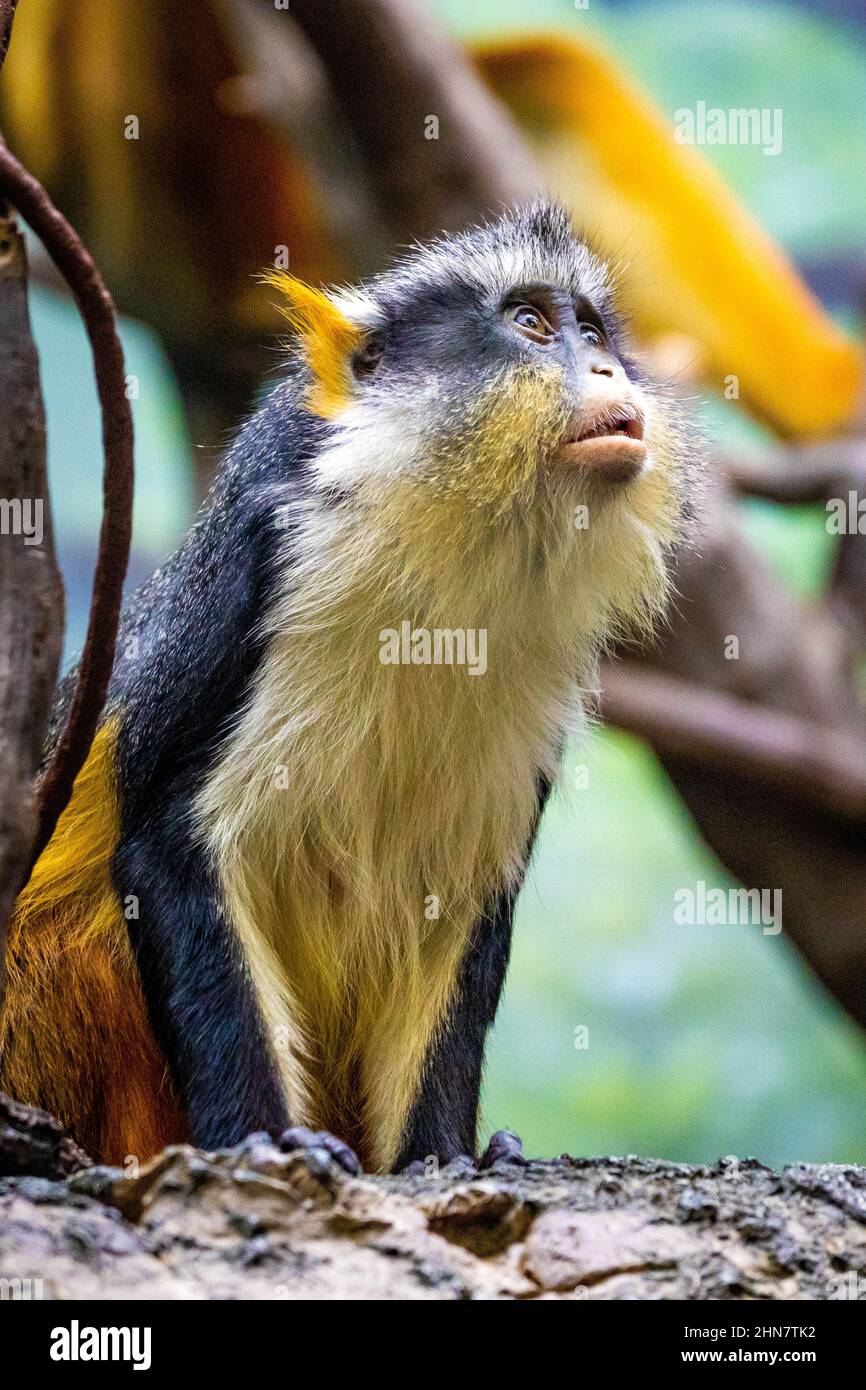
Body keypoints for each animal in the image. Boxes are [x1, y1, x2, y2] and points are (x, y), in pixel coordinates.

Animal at [0, 202, 694, 1173]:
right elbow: (166, 849)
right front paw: (264, 1144)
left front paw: (441, 1157)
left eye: (592, 332)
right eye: (529, 323)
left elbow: (462, 900)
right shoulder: (269, 562)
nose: (602, 368)